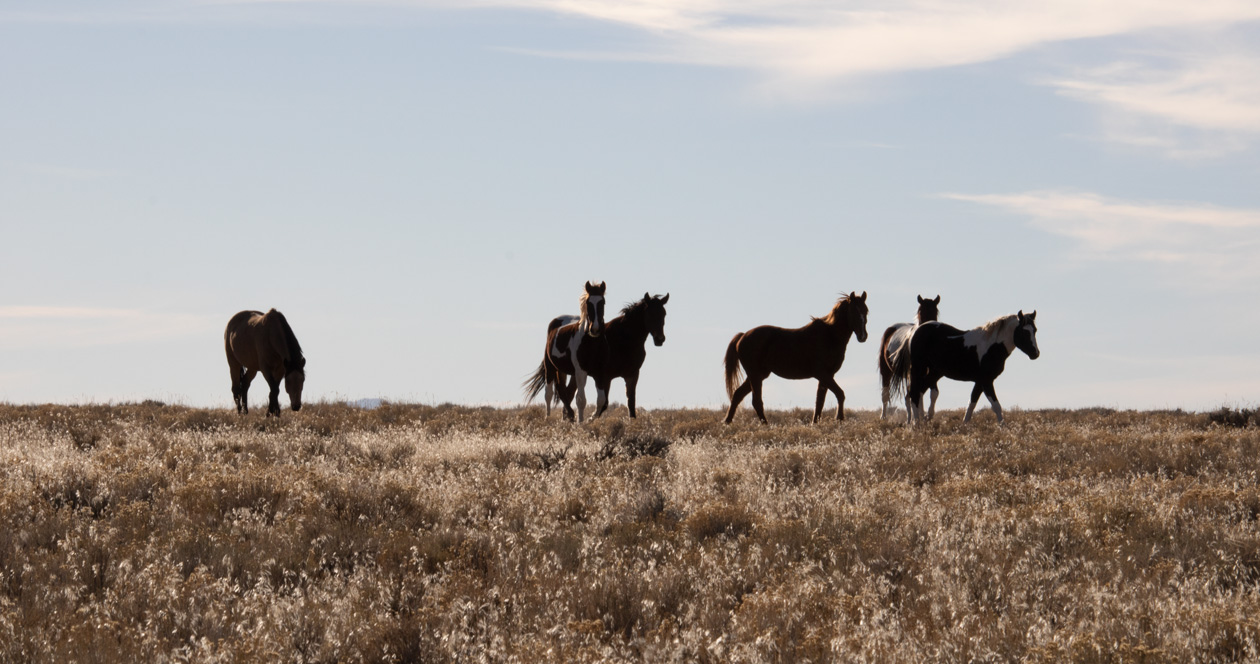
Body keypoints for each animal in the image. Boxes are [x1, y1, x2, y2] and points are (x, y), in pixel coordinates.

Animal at [522, 281, 608, 422]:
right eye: (588, 302)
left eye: (603, 302)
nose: (595, 329)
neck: (590, 343)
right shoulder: (581, 372)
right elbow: (581, 400)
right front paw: (581, 423)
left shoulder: (599, 373)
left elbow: (601, 400)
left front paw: (589, 419)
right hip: (551, 368)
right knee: (550, 393)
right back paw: (549, 417)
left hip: (566, 372)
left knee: (565, 391)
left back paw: (568, 416)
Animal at [723, 292, 869, 424]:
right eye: (854, 311)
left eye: (866, 311)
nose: (863, 336)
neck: (829, 336)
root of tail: (742, 336)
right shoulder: (823, 374)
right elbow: (840, 394)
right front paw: (839, 418)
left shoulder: (827, 376)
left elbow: (820, 401)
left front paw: (815, 423)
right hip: (755, 376)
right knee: (756, 401)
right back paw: (765, 425)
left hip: (758, 375)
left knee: (738, 395)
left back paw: (727, 422)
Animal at [900, 310, 1039, 425]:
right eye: (1024, 332)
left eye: (1035, 330)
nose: (1035, 354)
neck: (992, 347)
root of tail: (915, 332)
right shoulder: (987, 381)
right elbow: (996, 406)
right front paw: (1004, 428)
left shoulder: (979, 382)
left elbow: (972, 403)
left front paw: (964, 427)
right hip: (919, 369)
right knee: (913, 392)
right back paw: (916, 423)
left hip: (935, 372)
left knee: (918, 392)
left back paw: (921, 421)